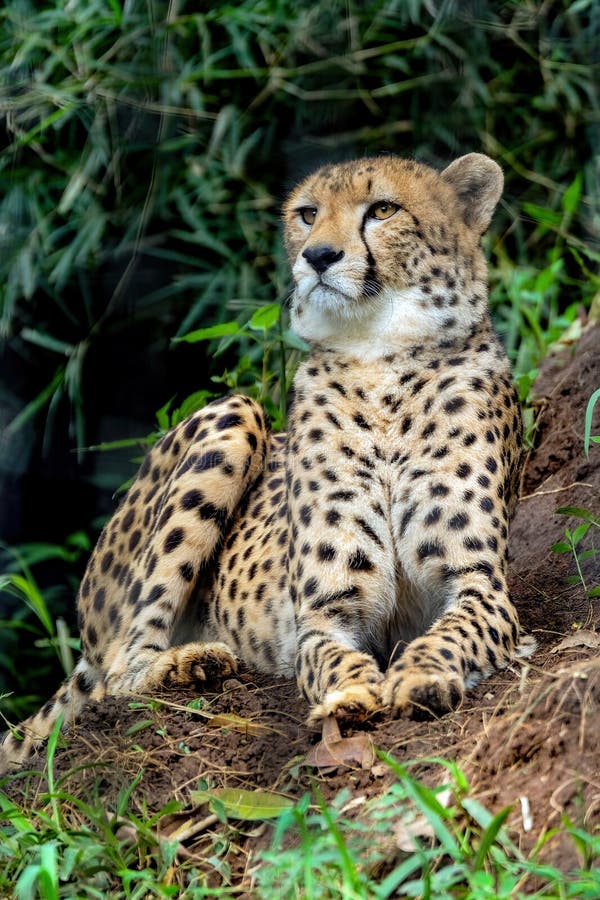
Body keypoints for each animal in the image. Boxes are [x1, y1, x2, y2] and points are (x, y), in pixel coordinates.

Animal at [0, 151, 533, 774]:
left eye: (382, 209)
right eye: (307, 214)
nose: (319, 255)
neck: (378, 353)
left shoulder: (479, 582)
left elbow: (452, 633)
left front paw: (421, 675)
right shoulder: (325, 611)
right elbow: (328, 657)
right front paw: (351, 693)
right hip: (235, 413)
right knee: (116, 674)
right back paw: (185, 663)